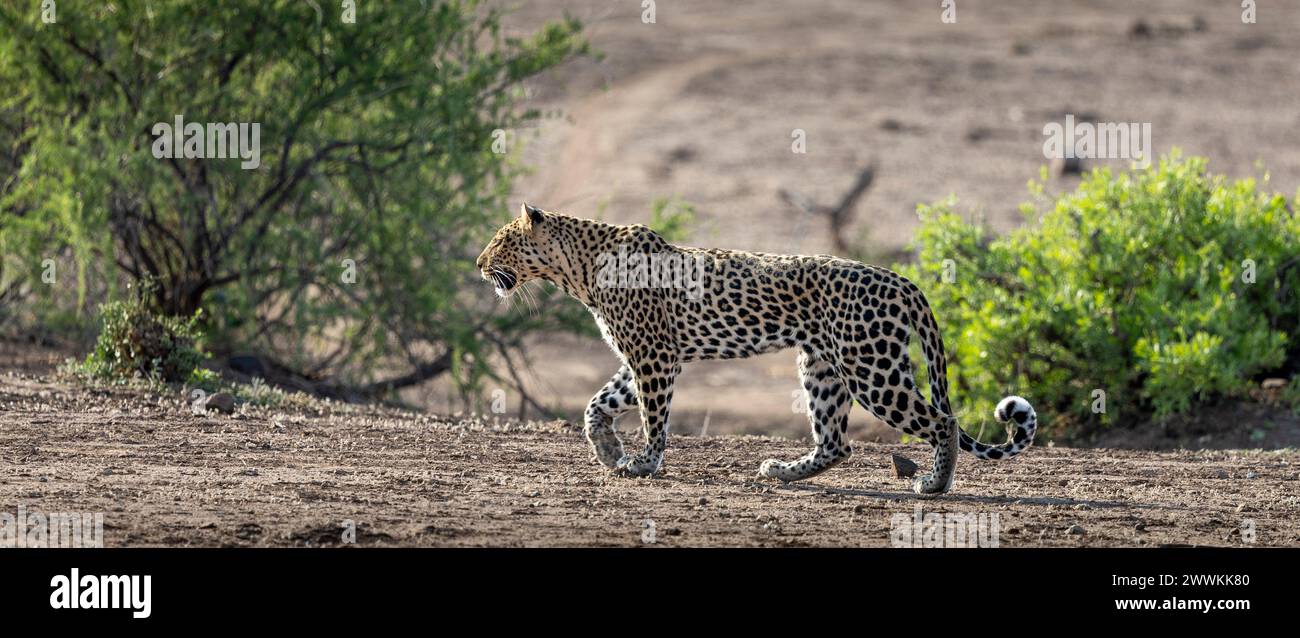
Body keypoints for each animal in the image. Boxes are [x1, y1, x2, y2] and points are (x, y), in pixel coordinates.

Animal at [476, 203, 1036, 495]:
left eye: (500, 241)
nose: (480, 265)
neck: (577, 269)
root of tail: (904, 281)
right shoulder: (642, 355)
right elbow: (597, 404)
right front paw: (609, 450)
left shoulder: (654, 356)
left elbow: (654, 418)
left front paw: (645, 462)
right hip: (822, 366)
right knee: (837, 442)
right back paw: (781, 472)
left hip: (872, 370)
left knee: (942, 421)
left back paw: (935, 484)